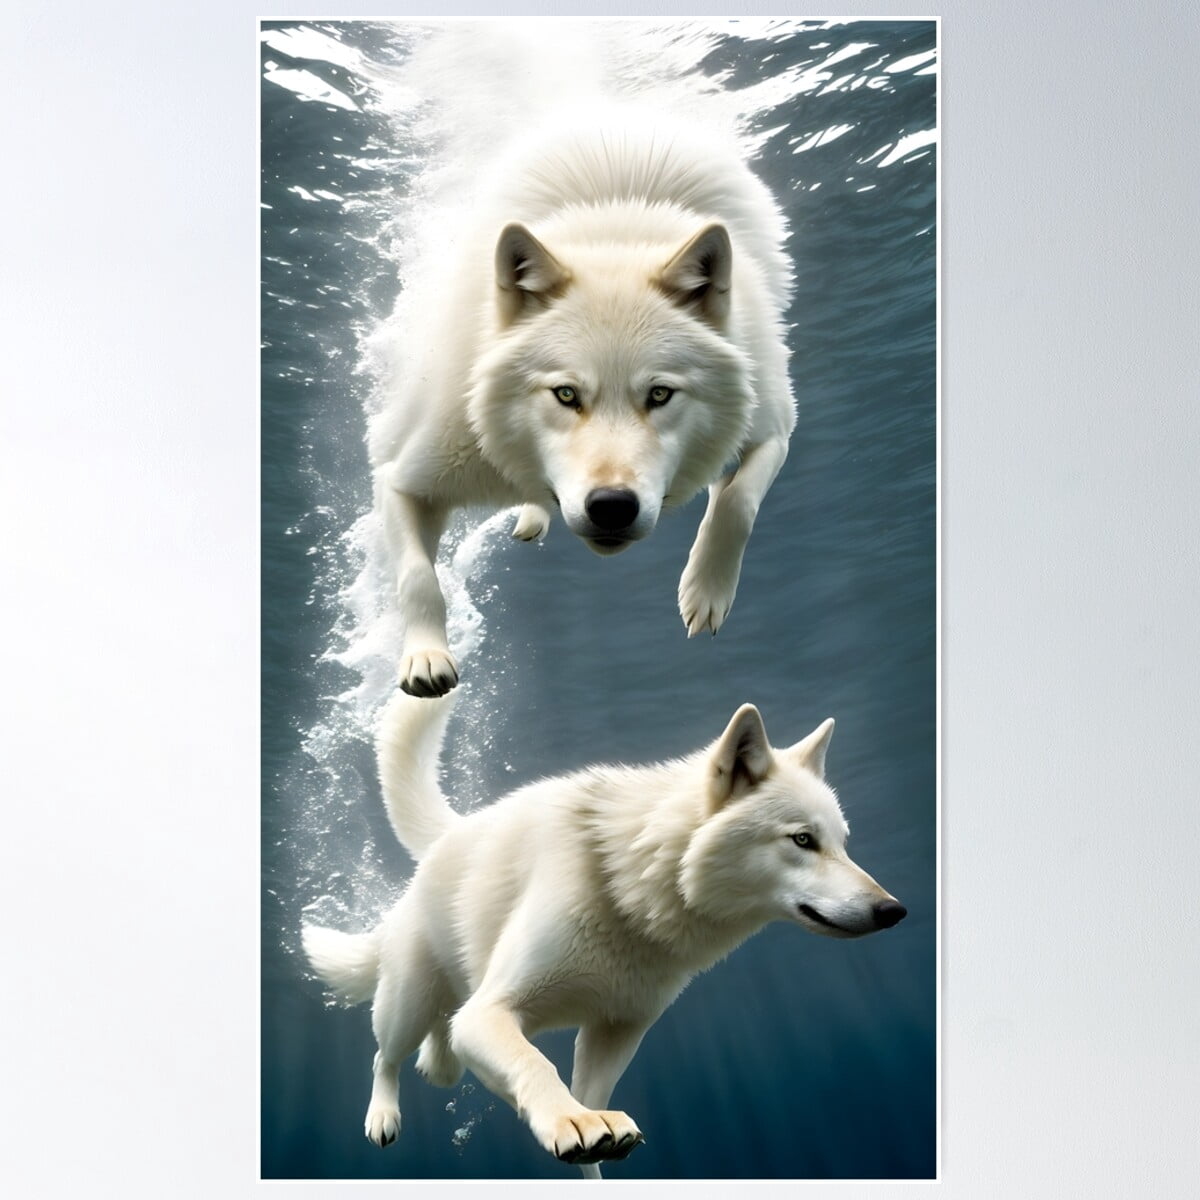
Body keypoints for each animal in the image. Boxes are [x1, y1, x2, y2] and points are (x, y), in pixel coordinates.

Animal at [302, 692, 906, 1177]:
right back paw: (383, 1116)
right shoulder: (489, 1014)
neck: (631, 890)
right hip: (407, 1004)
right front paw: (570, 1121)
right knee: (387, 1056)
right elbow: (537, 1065)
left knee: (439, 1049)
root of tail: (454, 830)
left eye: (843, 843)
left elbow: (586, 1102)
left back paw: (439, 1066)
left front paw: (590, 1140)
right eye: (802, 840)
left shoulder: (617, 1031)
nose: (894, 911)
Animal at [369, 117, 797, 697]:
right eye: (566, 394)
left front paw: (705, 593)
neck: (613, 236)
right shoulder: (407, 476)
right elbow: (417, 577)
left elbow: (740, 504)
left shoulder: (773, 425)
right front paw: (425, 658)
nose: (612, 506)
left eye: (659, 394)